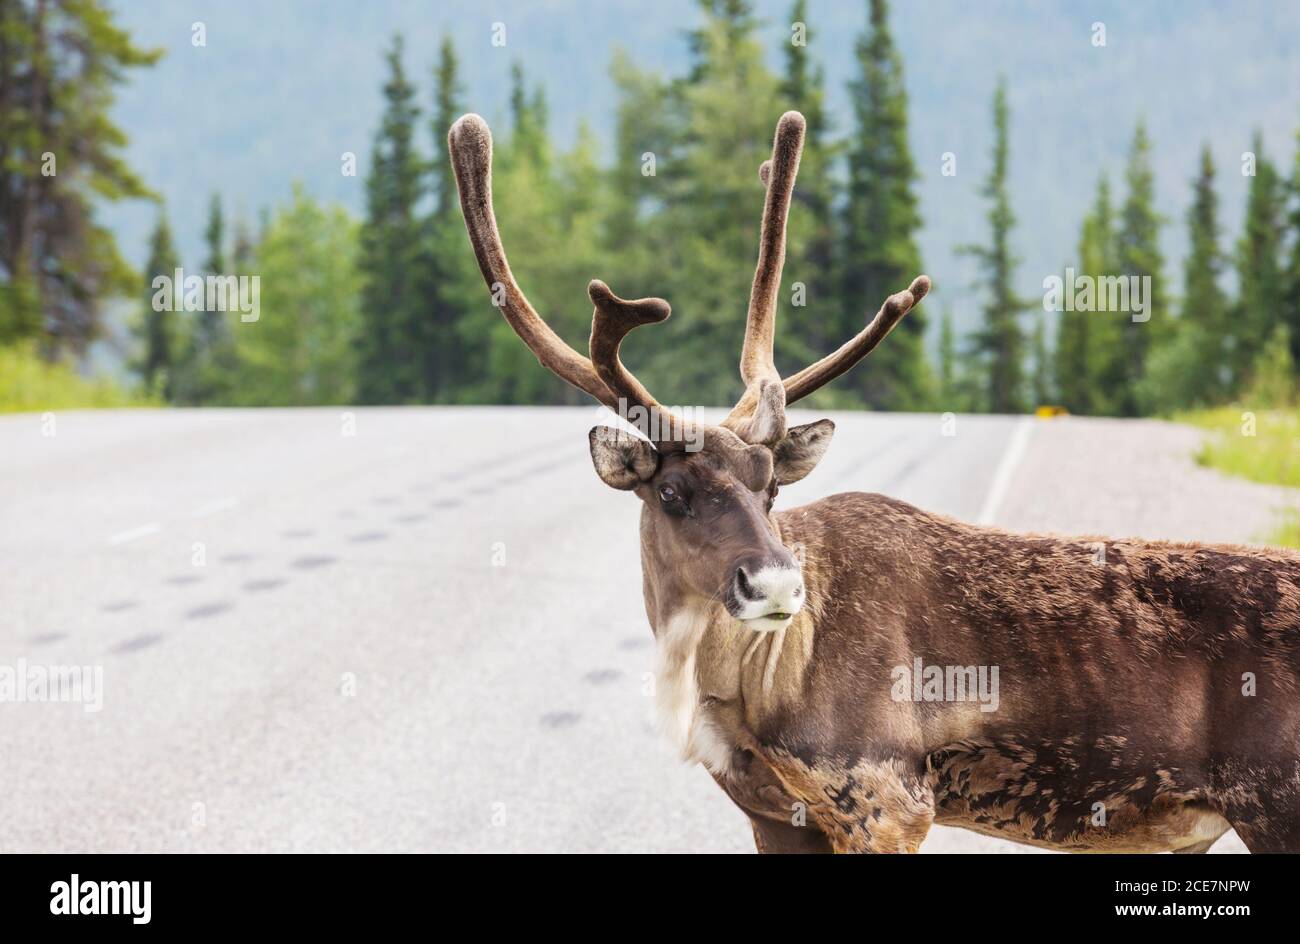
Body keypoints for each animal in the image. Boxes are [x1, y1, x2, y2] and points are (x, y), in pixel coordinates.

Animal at [448, 110, 1300, 854]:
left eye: (769, 486)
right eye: (671, 493)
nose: (774, 586)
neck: (740, 686)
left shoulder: (884, 799)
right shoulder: (776, 813)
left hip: (1273, 802)